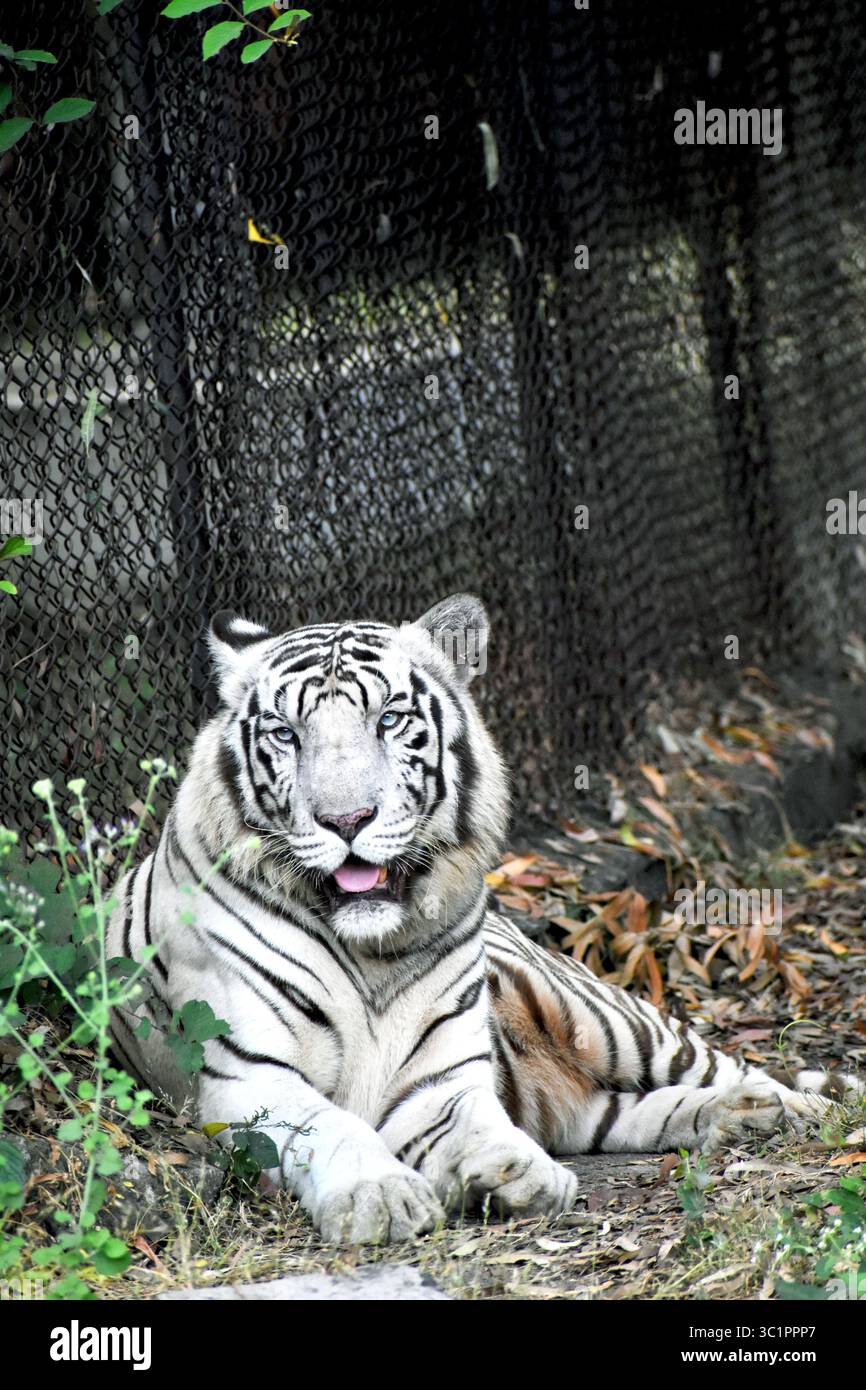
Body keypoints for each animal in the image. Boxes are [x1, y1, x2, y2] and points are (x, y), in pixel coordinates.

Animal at [108, 593, 862, 1244]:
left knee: (727, 1066)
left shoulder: (443, 1077)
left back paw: (796, 1110)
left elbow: (475, 1124)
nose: (346, 820)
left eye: (388, 720)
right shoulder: (251, 1077)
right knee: (630, 1111)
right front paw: (382, 1197)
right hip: (588, 1097)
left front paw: (508, 1169)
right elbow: (332, 1127)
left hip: (609, 1023)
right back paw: (739, 1119)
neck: (371, 951)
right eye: (287, 735)